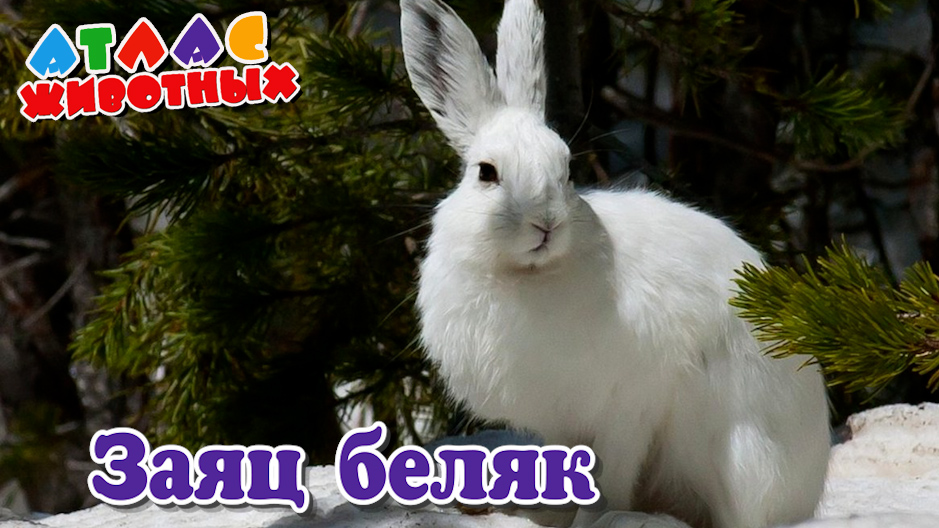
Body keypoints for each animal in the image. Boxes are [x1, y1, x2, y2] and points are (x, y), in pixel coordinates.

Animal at [400, 0, 831, 527]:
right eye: (486, 173)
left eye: (566, 170)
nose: (546, 223)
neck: (528, 277)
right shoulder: (560, 420)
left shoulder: (628, 406)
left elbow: (612, 472)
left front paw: (593, 519)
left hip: (739, 454)